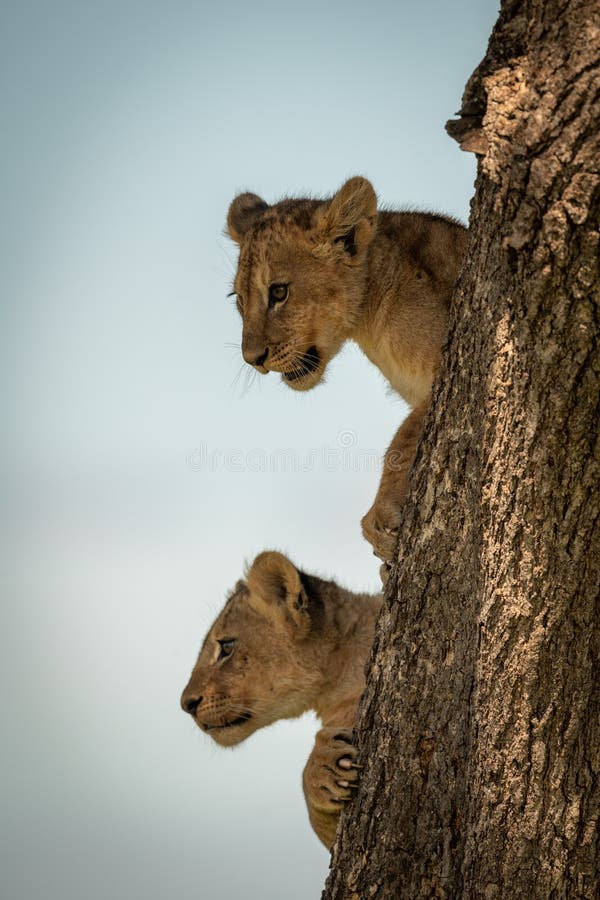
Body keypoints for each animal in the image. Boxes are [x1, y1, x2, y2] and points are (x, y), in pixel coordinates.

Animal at [226, 177, 468, 566]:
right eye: (239, 300)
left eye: (279, 292)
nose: (253, 358)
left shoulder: (444, 363)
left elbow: (402, 440)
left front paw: (379, 519)